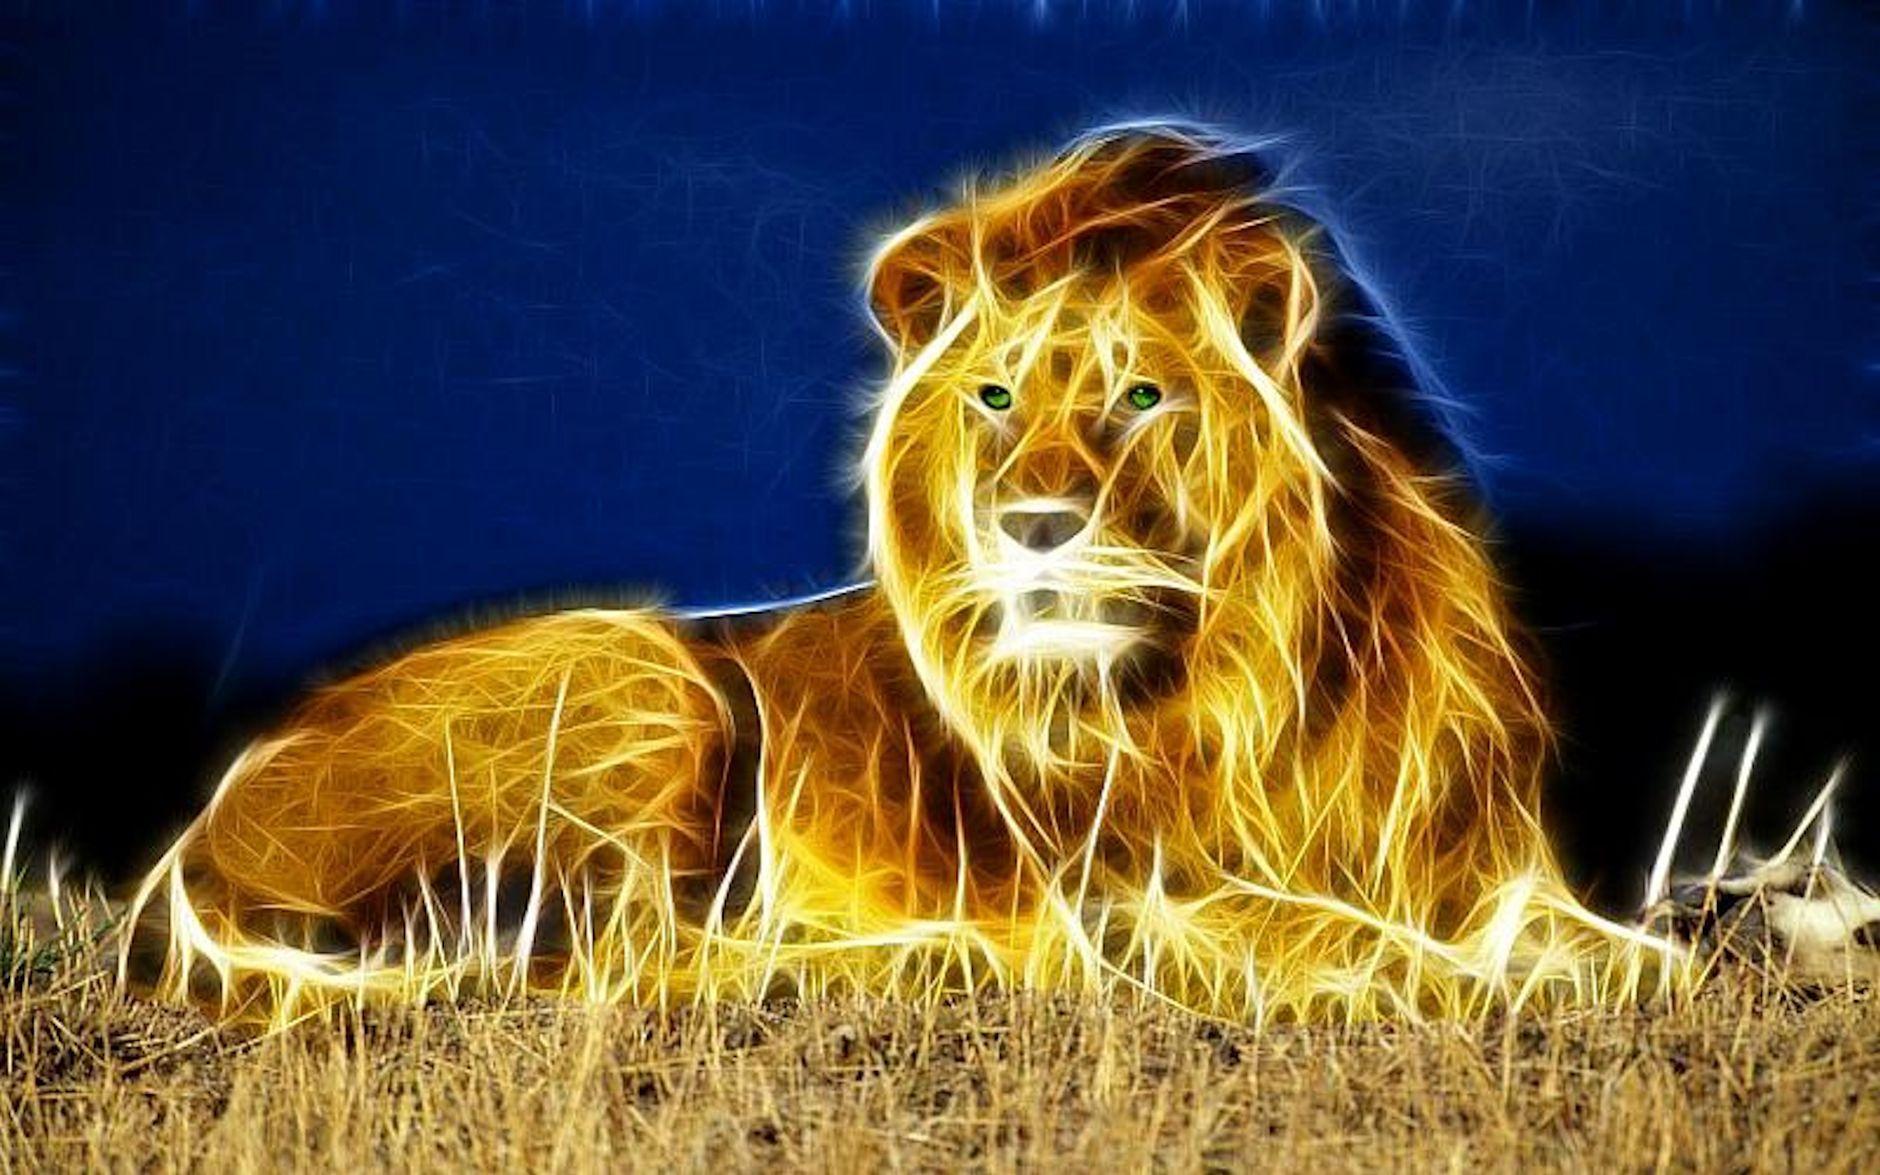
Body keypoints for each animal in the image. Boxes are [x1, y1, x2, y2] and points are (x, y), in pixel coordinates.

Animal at [123, 122, 1873, 1027]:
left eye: (1141, 394)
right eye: (992, 396)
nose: (1030, 521)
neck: (1278, 669)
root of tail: (194, 835)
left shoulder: (1481, 864)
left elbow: (1609, 948)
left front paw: (1722, 944)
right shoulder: (1143, 892)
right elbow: (1361, 949)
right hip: (650, 669)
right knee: (625, 961)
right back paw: (929, 955)